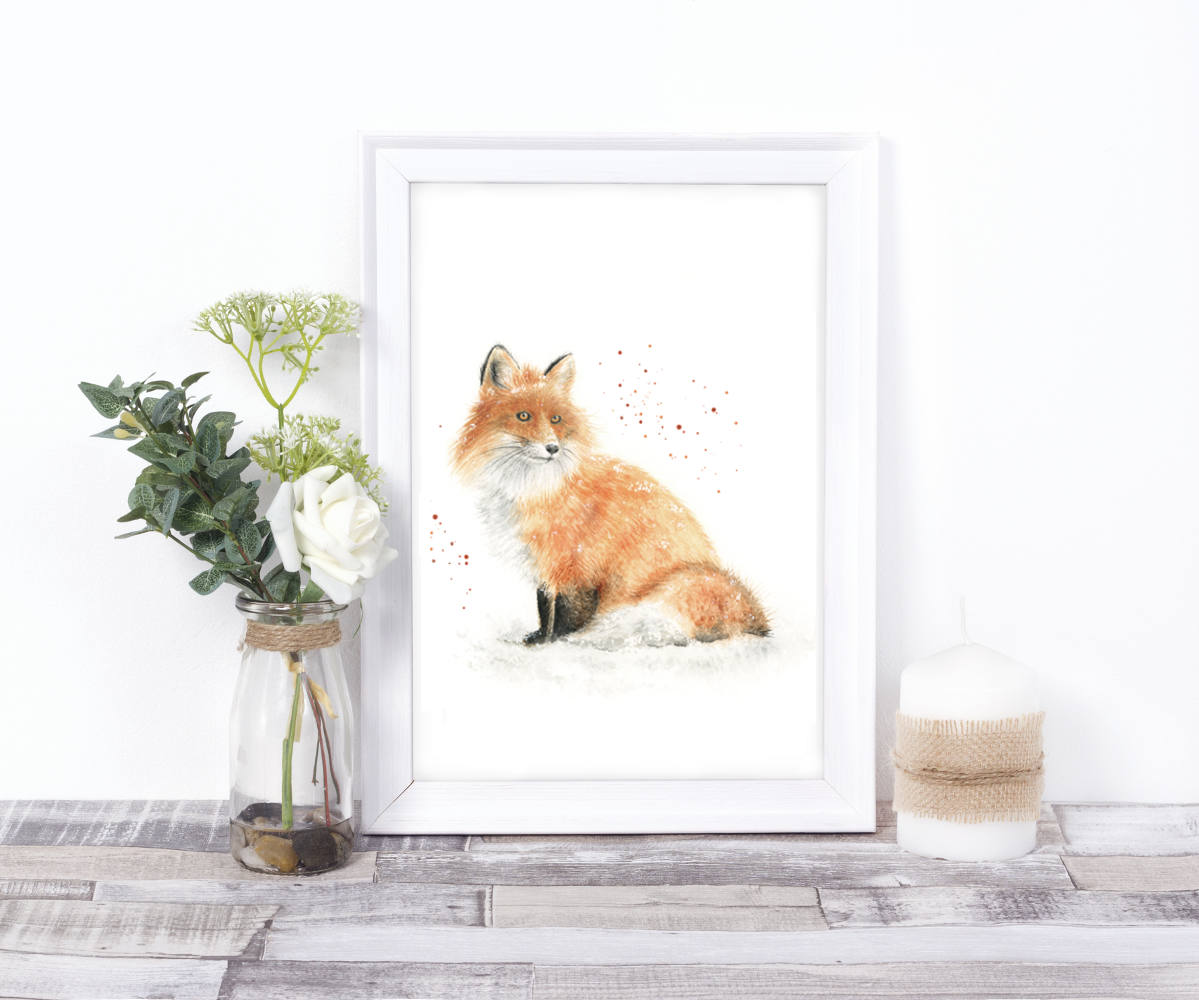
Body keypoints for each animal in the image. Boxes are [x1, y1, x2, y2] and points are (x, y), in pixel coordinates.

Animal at [452, 344, 770, 645]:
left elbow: (566, 616)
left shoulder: (576, 567)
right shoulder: (544, 567)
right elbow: (544, 608)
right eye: (523, 416)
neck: (534, 488)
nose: (552, 448)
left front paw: (554, 644)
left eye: (556, 419)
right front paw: (539, 638)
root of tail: (758, 621)